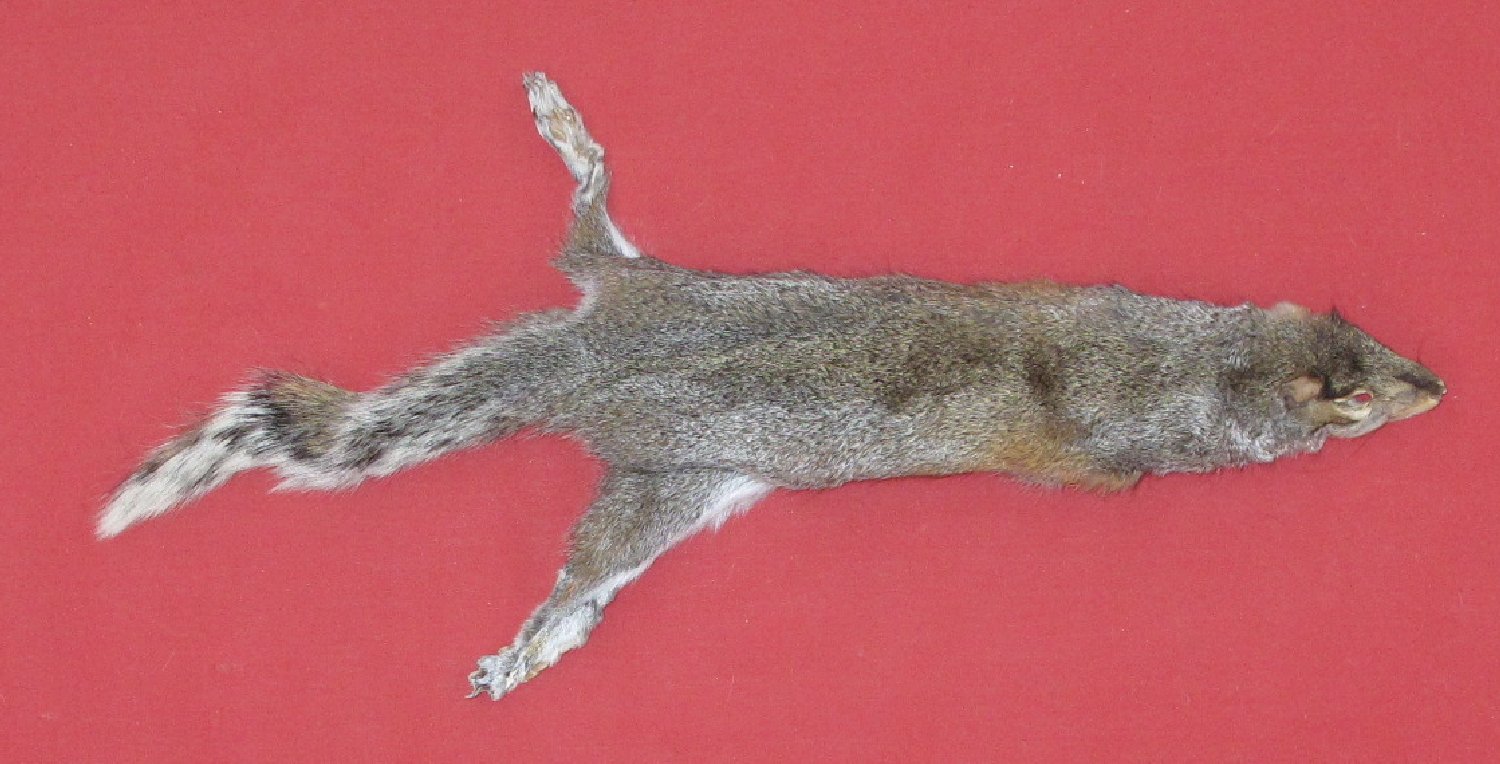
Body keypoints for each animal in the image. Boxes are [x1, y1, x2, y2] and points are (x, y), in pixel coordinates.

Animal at [97, 73, 1445, 701]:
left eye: (1369, 331)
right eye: (1365, 402)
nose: (1435, 384)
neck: (1219, 362)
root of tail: (591, 364)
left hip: (664, 389)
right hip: (655, 450)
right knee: (579, 560)